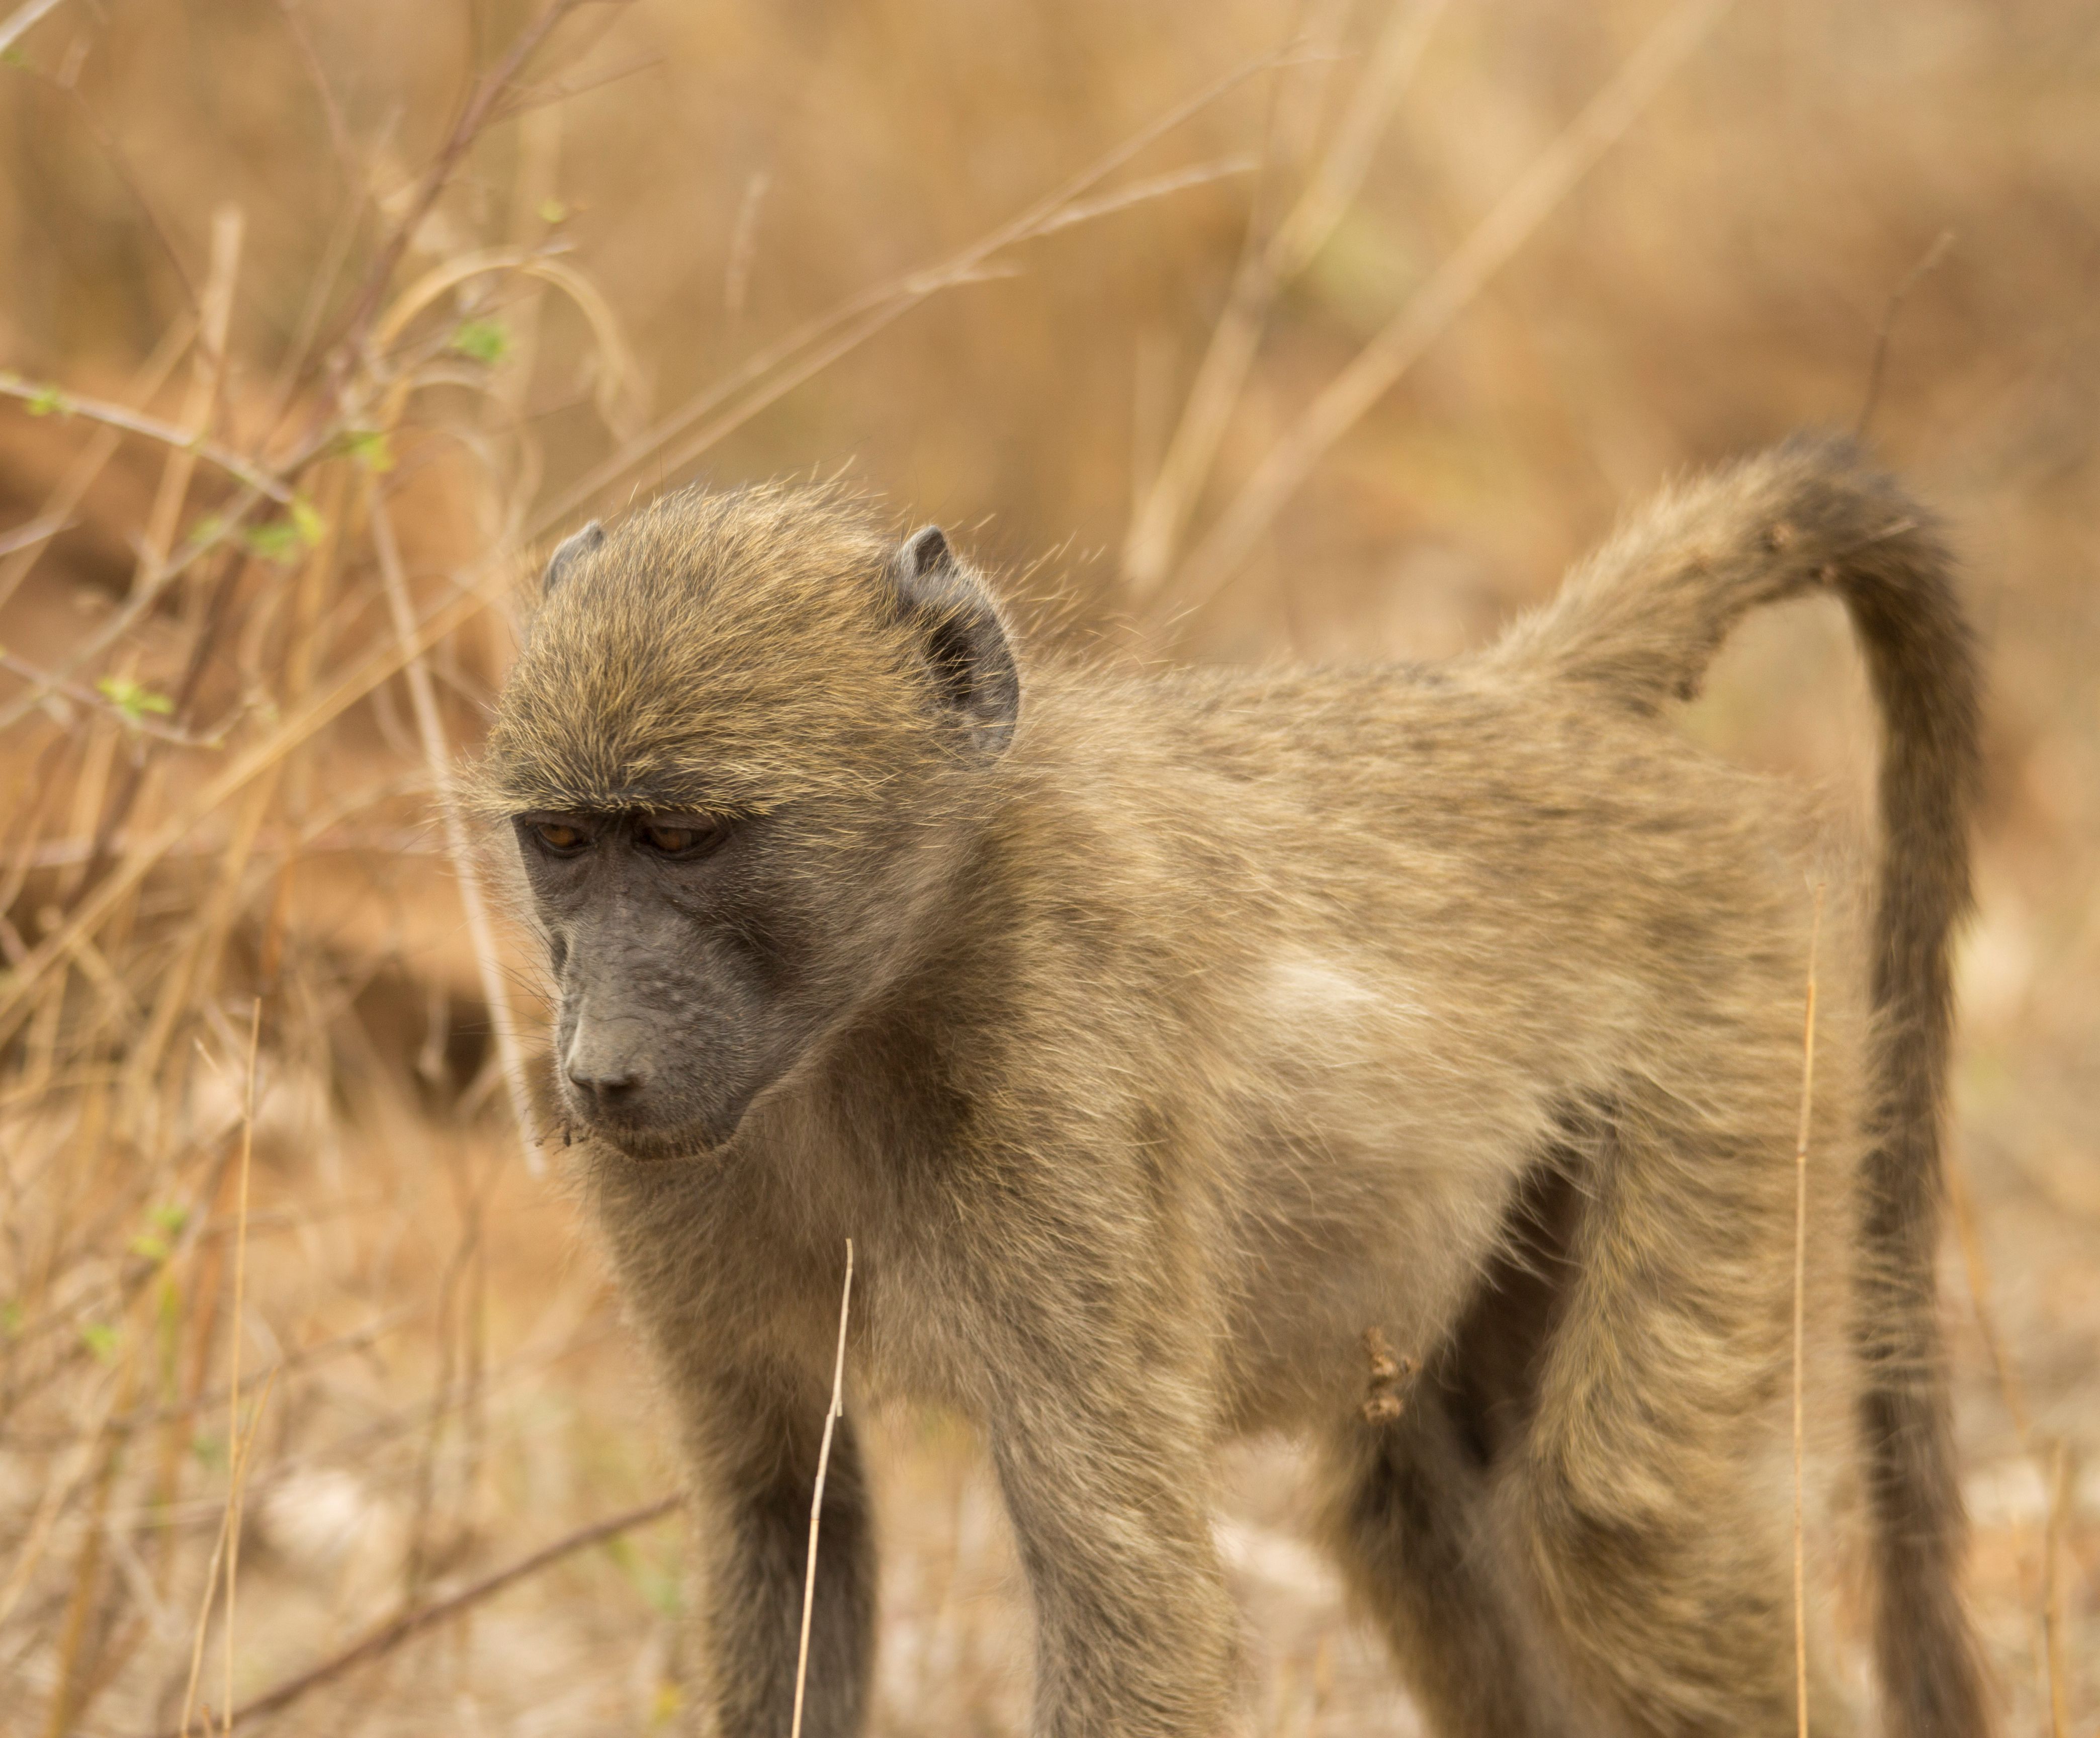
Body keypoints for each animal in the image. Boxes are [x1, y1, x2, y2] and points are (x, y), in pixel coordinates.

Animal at [475, 433, 1988, 1738]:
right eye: (565, 842)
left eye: (684, 837)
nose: (597, 1071)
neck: (870, 1003)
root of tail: (1537, 703)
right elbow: (784, 1521)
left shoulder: (1061, 1106)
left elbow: (1125, 1591)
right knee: (1423, 1504)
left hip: (1732, 1024)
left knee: (1619, 1516)